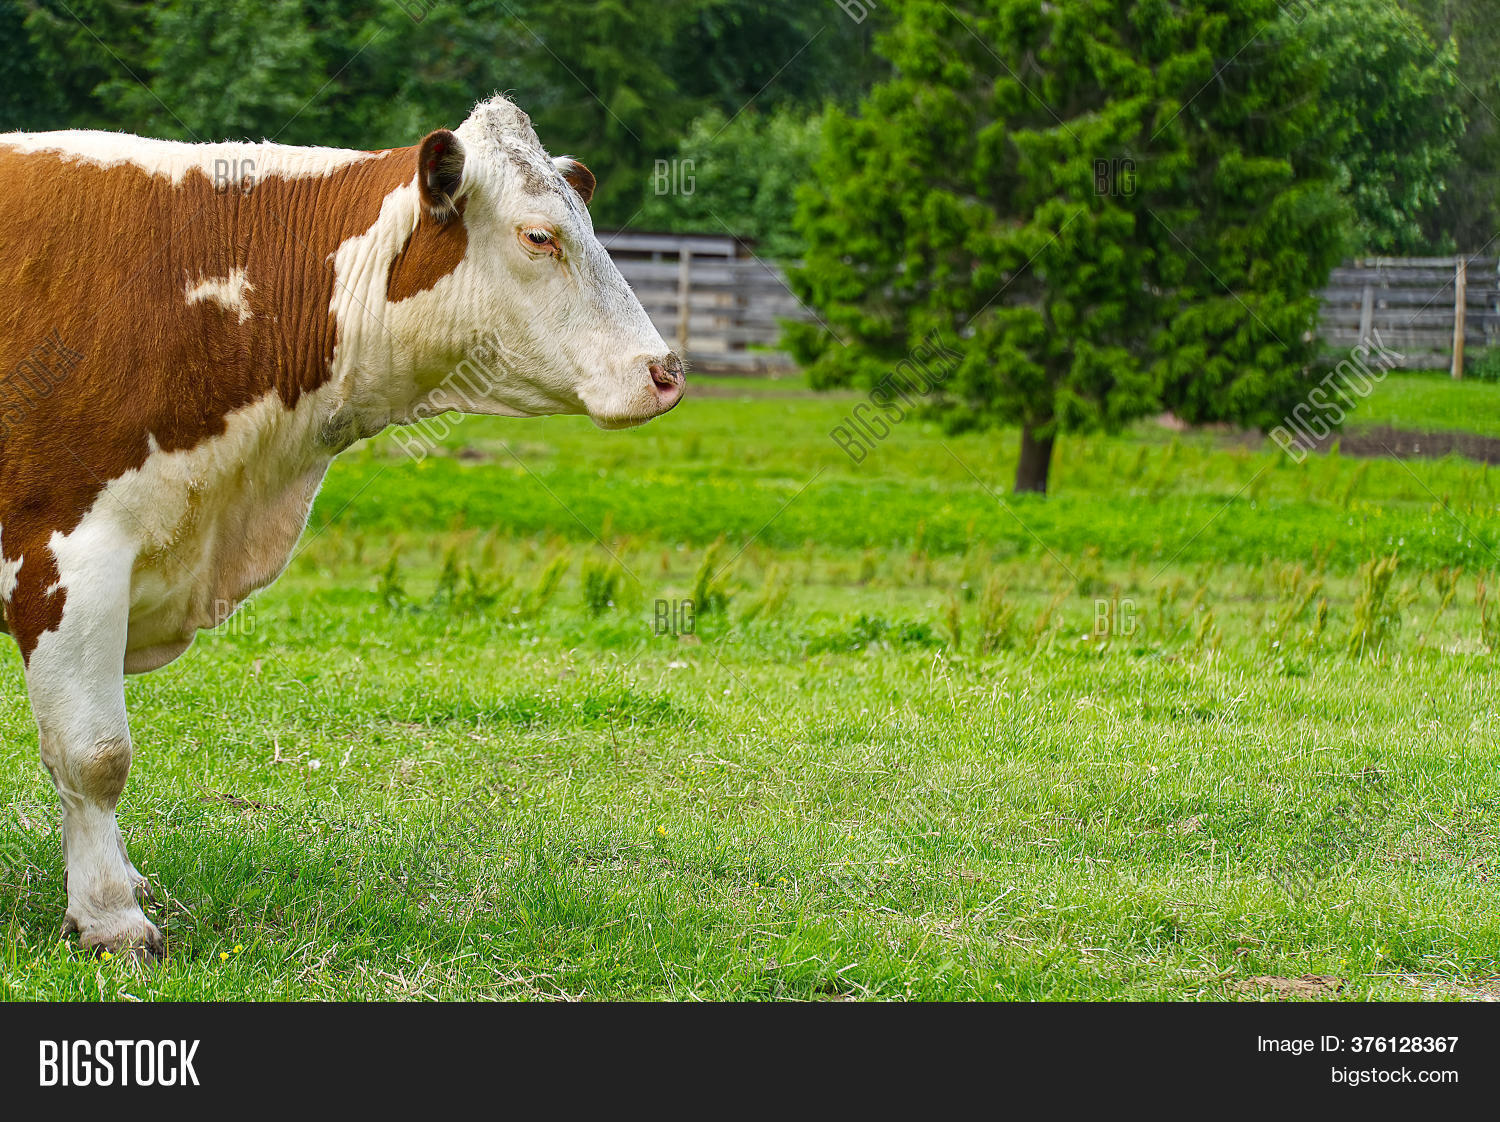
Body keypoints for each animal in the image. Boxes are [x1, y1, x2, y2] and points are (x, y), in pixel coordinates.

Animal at [0, 95, 685, 957]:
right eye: (539, 236)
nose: (666, 372)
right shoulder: (66, 551)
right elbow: (95, 754)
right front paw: (110, 918)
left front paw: (121, 882)